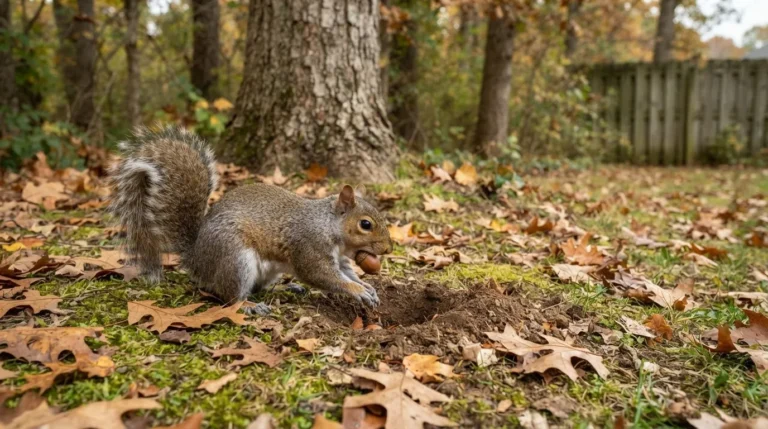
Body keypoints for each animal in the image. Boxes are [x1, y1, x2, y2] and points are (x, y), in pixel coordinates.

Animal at [109, 125, 393, 311]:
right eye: (365, 224)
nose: (389, 248)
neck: (328, 224)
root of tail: (198, 259)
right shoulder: (309, 246)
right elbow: (323, 276)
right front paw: (357, 290)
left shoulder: (339, 258)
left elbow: (346, 272)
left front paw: (365, 286)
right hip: (235, 258)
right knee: (229, 296)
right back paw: (248, 307)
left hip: (265, 270)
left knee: (259, 288)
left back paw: (286, 289)